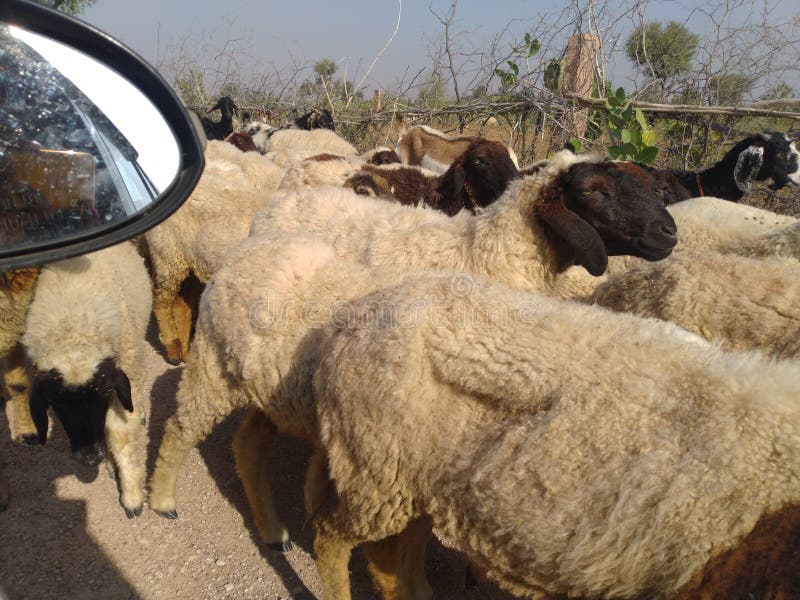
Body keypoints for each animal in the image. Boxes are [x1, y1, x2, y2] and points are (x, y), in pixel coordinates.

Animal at [22, 241, 151, 517]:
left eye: (104, 392)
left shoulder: (122, 382)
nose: (90, 456)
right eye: (55, 403)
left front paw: (132, 496)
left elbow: (122, 434)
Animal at [143, 139, 286, 364]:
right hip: (167, 254)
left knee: (181, 302)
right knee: (161, 300)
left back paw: (185, 348)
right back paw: (173, 348)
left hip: (191, 261)